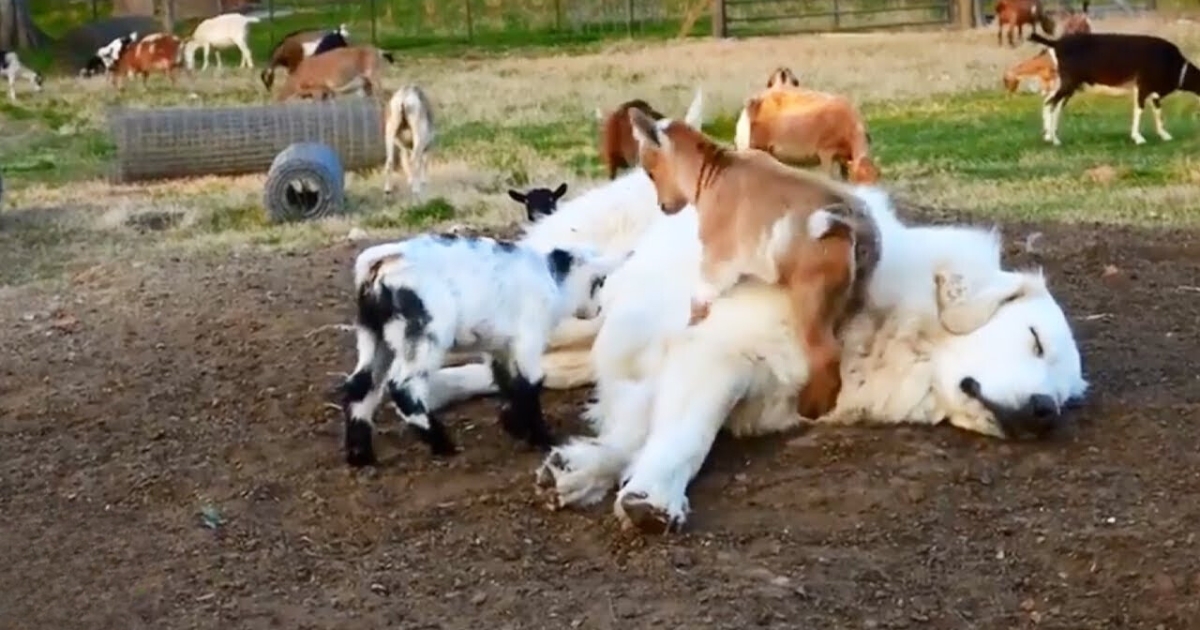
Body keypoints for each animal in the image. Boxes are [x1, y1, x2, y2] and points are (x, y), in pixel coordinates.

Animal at [341, 233, 625, 467]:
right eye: (600, 281)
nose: (598, 310)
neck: (551, 277)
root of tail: (382, 264)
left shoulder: (499, 346)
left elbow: (506, 380)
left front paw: (514, 426)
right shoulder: (528, 338)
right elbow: (530, 383)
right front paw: (542, 438)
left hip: (373, 335)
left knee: (360, 384)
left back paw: (360, 455)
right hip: (422, 333)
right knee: (403, 385)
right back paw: (441, 442)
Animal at [628, 108, 882, 420]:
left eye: (650, 172)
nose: (664, 207)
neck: (715, 171)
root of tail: (851, 221)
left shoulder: (717, 262)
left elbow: (699, 301)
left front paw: (690, 328)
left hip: (811, 299)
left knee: (826, 352)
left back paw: (810, 407)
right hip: (851, 295)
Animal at [1030, 31, 1200, 145]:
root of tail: (1056, 43)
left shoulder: (1154, 92)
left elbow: (1158, 113)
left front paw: (1165, 135)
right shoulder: (1142, 87)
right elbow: (1139, 110)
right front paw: (1138, 138)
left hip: (1066, 84)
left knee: (1052, 103)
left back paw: (1049, 136)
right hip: (1069, 82)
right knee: (1051, 103)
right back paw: (1054, 139)